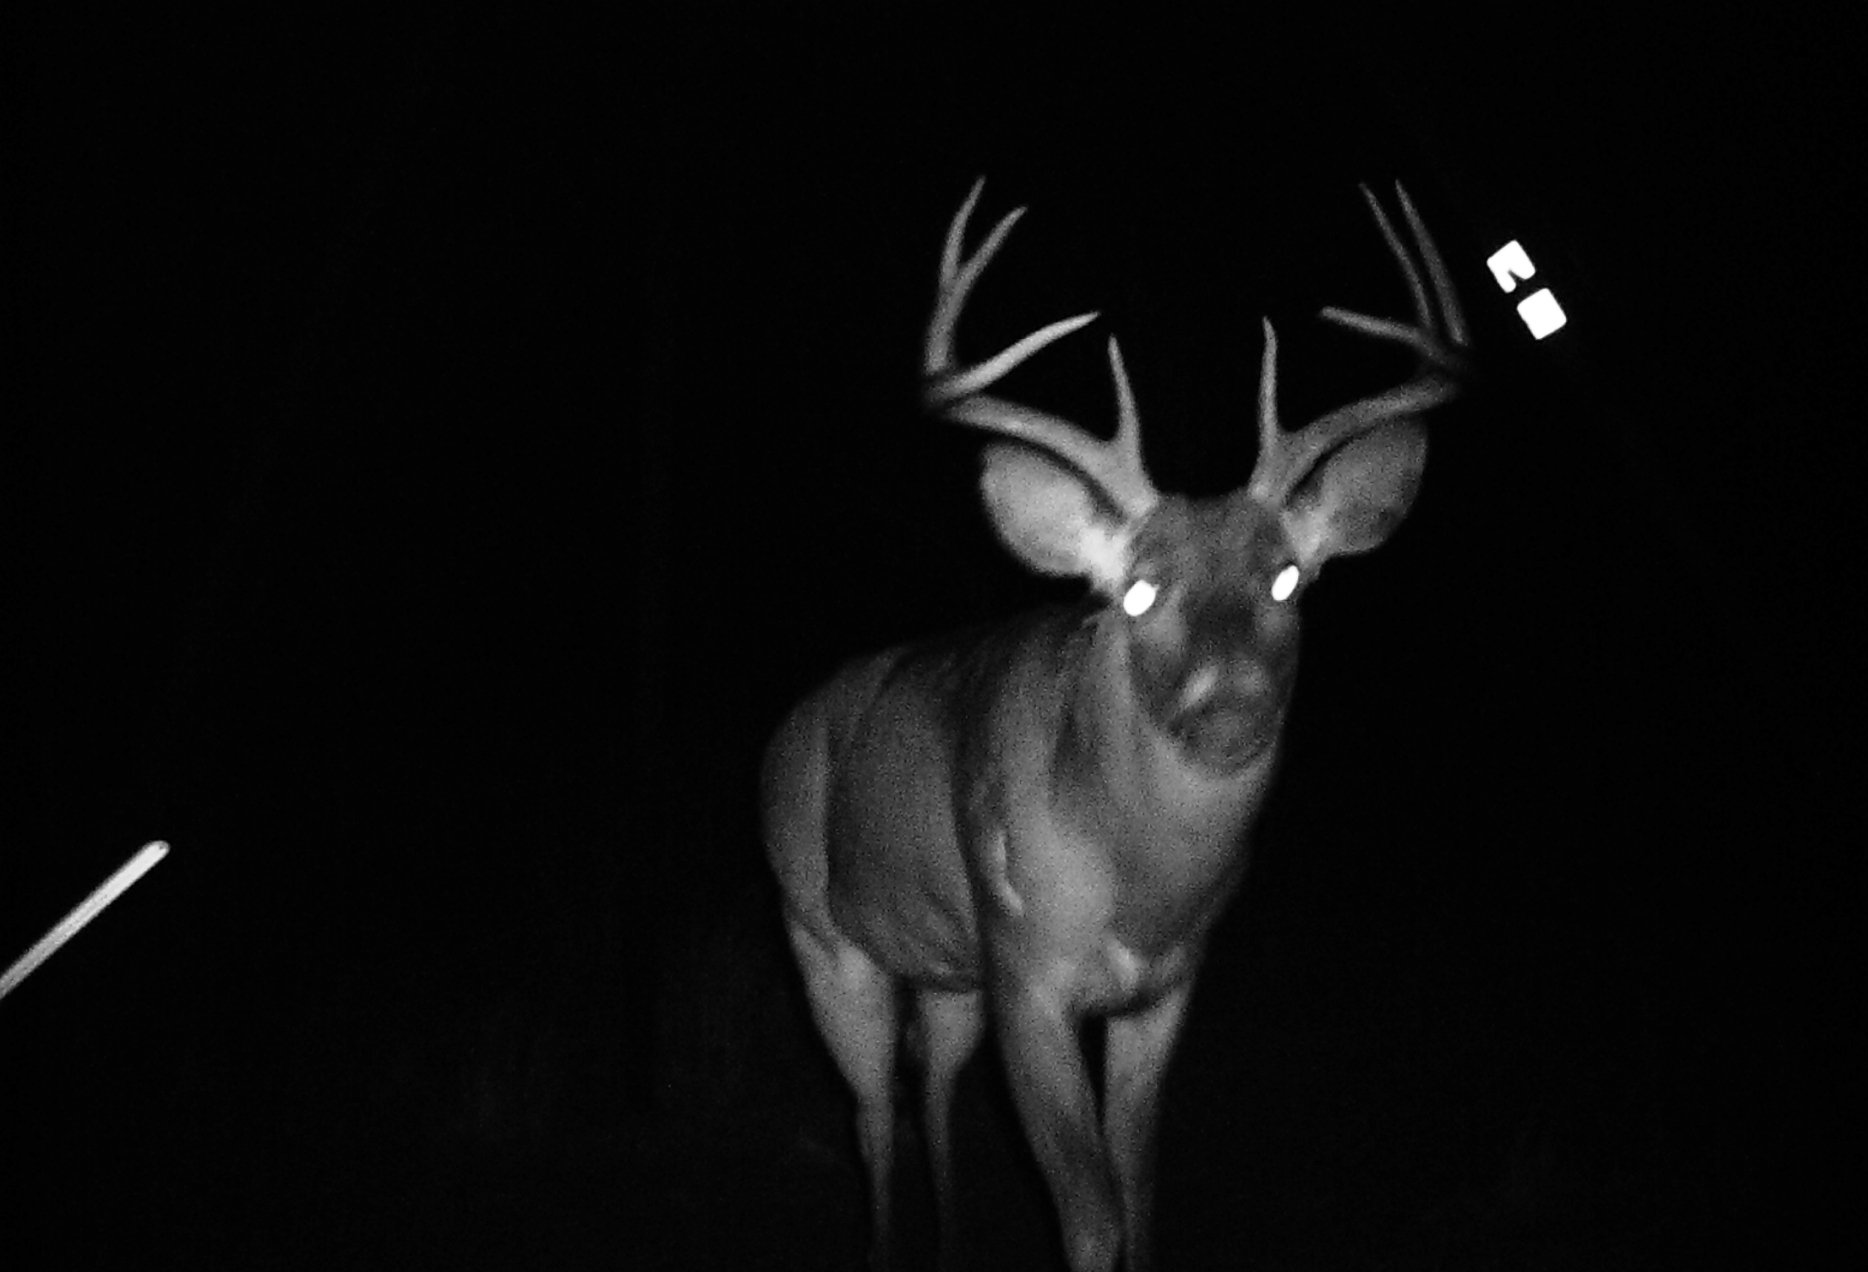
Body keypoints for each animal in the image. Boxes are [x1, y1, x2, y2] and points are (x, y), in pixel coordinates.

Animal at [761, 178, 1468, 1272]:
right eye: (1136, 591)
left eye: (1286, 579)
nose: (1228, 705)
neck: (1140, 887)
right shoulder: (1028, 974)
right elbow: (1088, 1215)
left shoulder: (1164, 989)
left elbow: (1137, 1185)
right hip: (823, 939)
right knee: (871, 1115)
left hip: (946, 972)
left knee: (929, 1089)